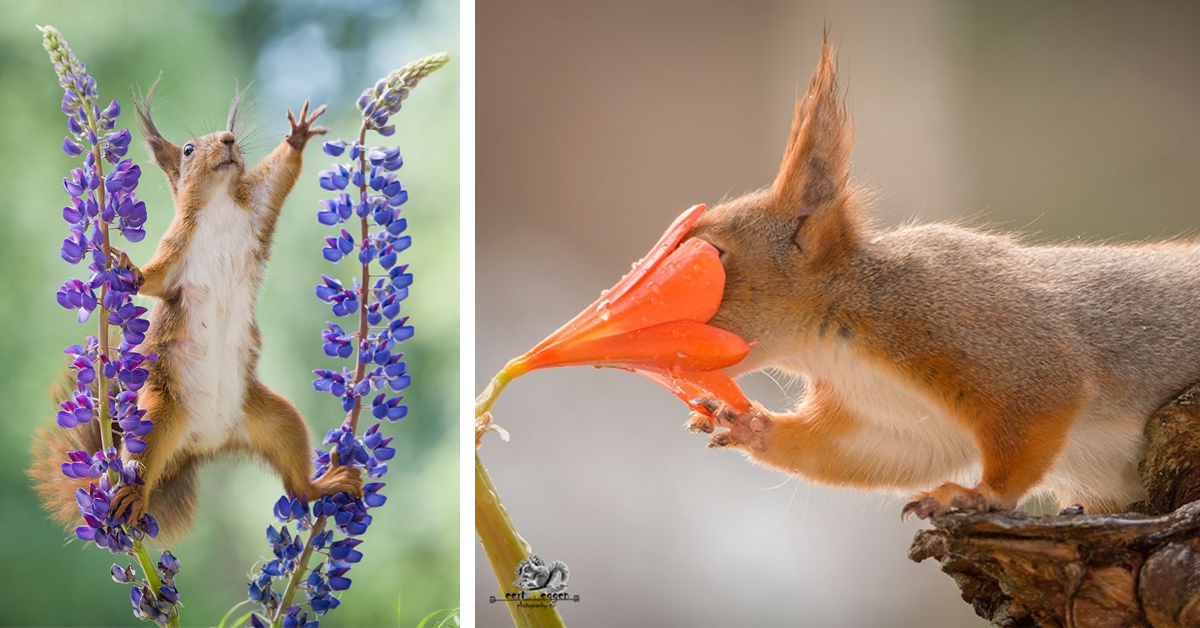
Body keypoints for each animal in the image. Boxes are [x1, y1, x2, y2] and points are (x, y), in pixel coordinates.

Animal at [30, 82, 363, 542]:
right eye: (188, 149)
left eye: (230, 136)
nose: (228, 139)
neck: (219, 206)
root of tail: (204, 443)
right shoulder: (176, 254)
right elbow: (152, 279)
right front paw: (125, 266)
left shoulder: (258, 207)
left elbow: (279, 176)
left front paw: (297, 136)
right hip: (156, 418)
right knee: (142, 467)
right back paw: (131, 496)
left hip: (277, 419)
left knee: (296, 481)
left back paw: (326, 483)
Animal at [685, 35, 1199, 519]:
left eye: (715, 253)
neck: (832, 343)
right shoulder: (891, 421)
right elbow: (863, 453)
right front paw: (749, 425)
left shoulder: (980, 329)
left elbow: (1041, 407)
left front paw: (978, 495)